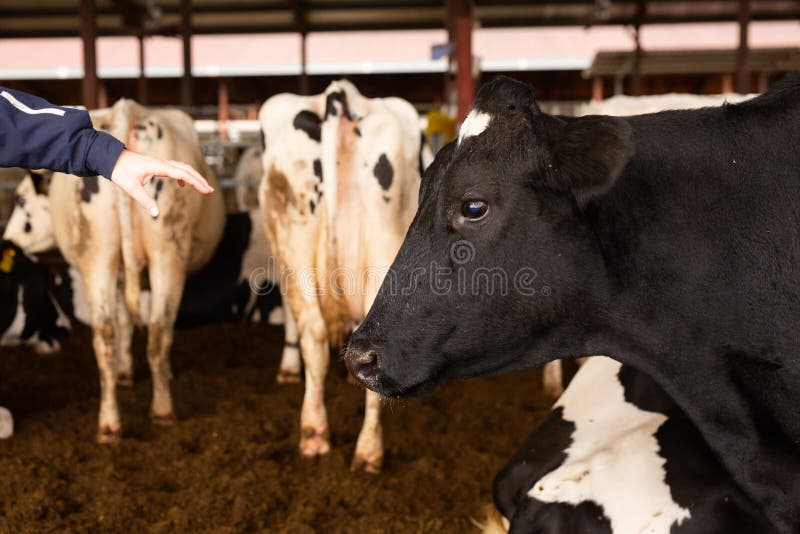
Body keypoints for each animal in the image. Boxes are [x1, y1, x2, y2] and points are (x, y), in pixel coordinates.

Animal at [4, 99, 225, 442]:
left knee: (105, 335)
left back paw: (109, 422)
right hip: (166, 254)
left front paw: (124, 372)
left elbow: (122, 320)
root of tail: (127, 110)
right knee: (159, 331)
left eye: (20, 198)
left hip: (99, 256)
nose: (7, 238)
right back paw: (161, 409)